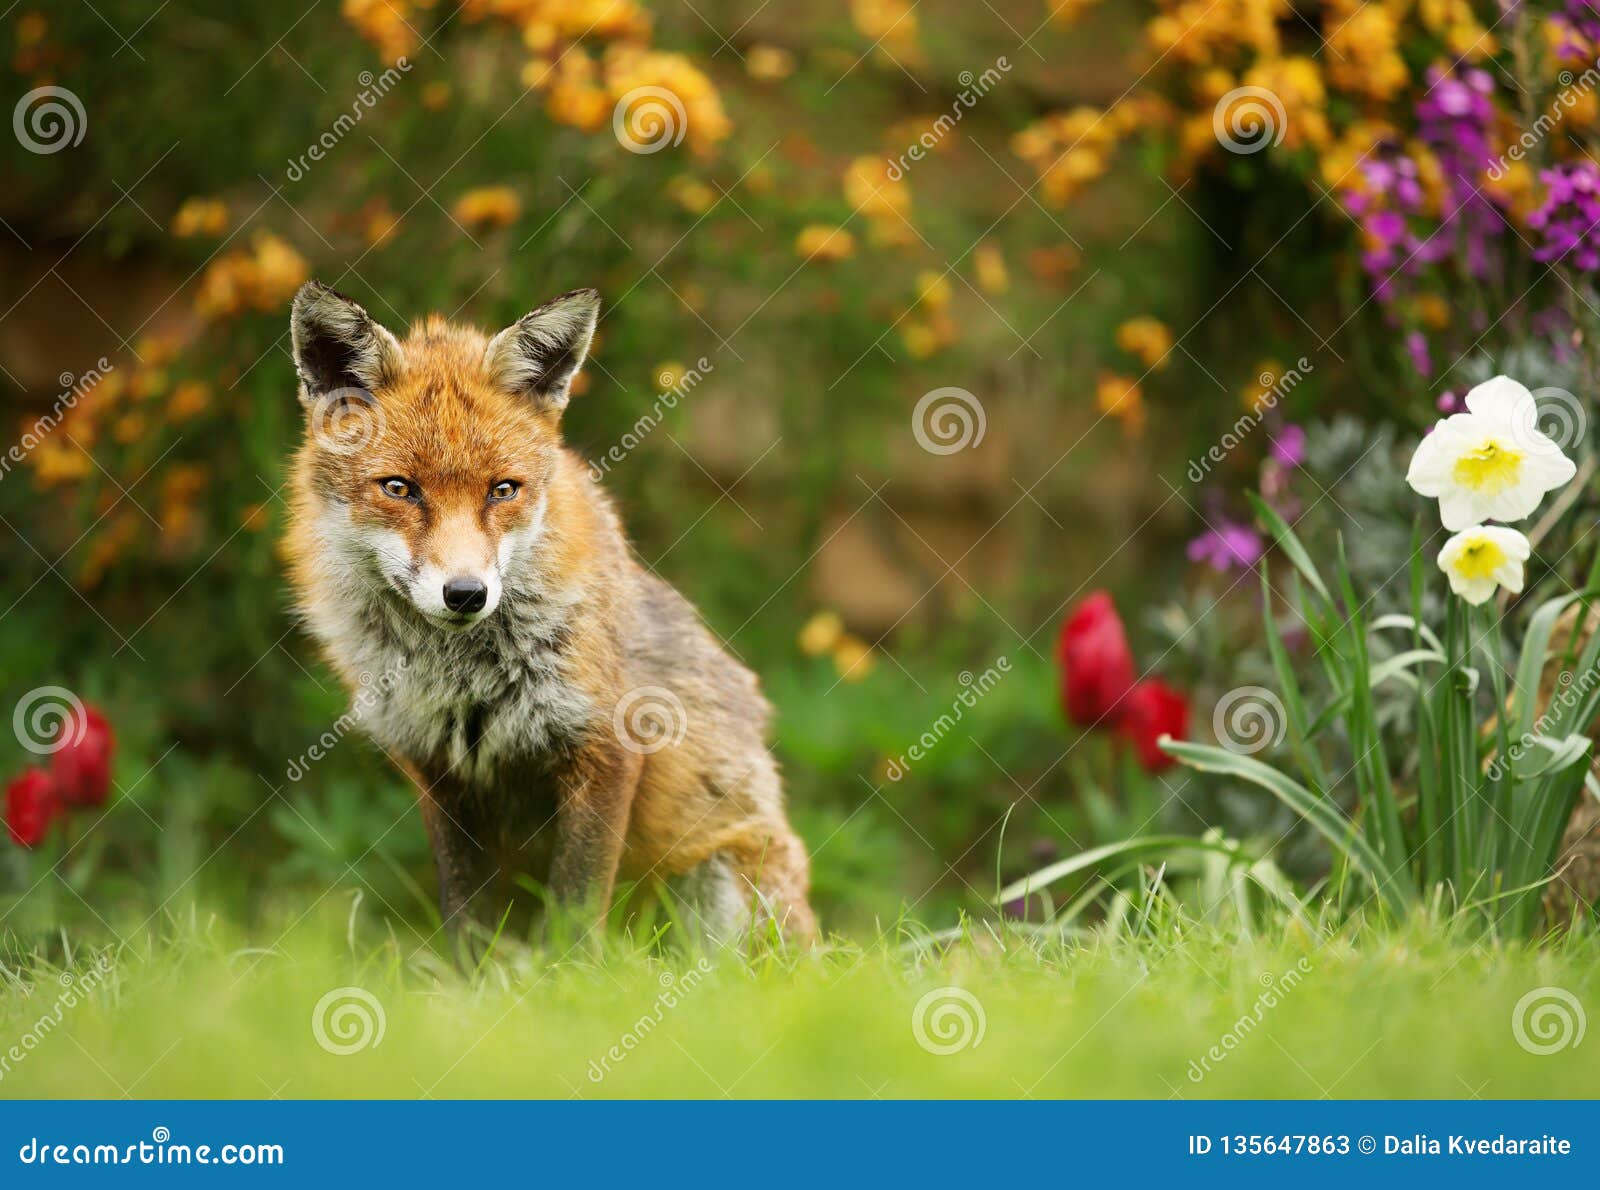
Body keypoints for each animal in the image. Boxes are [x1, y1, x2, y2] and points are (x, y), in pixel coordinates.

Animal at [281, 280, 818, 948]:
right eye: (399, 488)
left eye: (502, 490)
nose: (465, 593)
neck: (460, 676)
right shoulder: (440, 770)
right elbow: (467, 921)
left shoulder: (610, 746)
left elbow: (575, 911)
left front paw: (571, 973)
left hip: (720, 885)